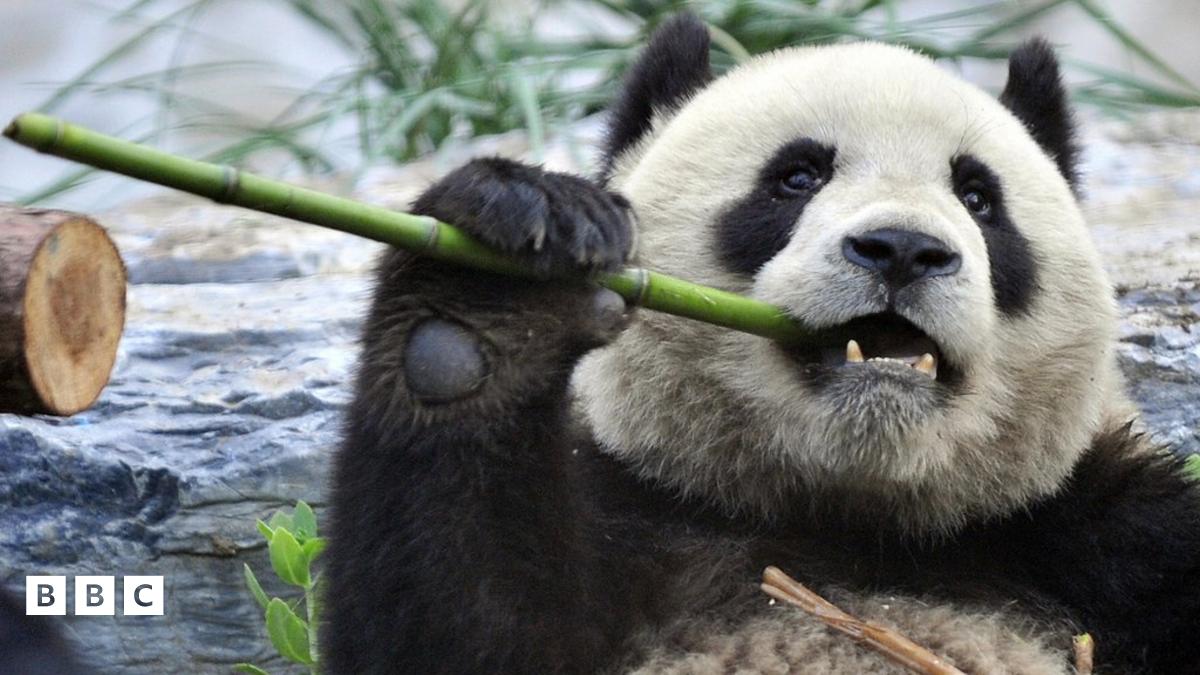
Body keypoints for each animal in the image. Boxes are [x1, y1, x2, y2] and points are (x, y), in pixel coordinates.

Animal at [322, 13, 1200, 674]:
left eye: (980, 197)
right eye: (797, 176)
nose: (903, 249)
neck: (852, 517)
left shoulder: (1098, 538)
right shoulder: (638, 514)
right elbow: (462, 627)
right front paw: (493, 290)